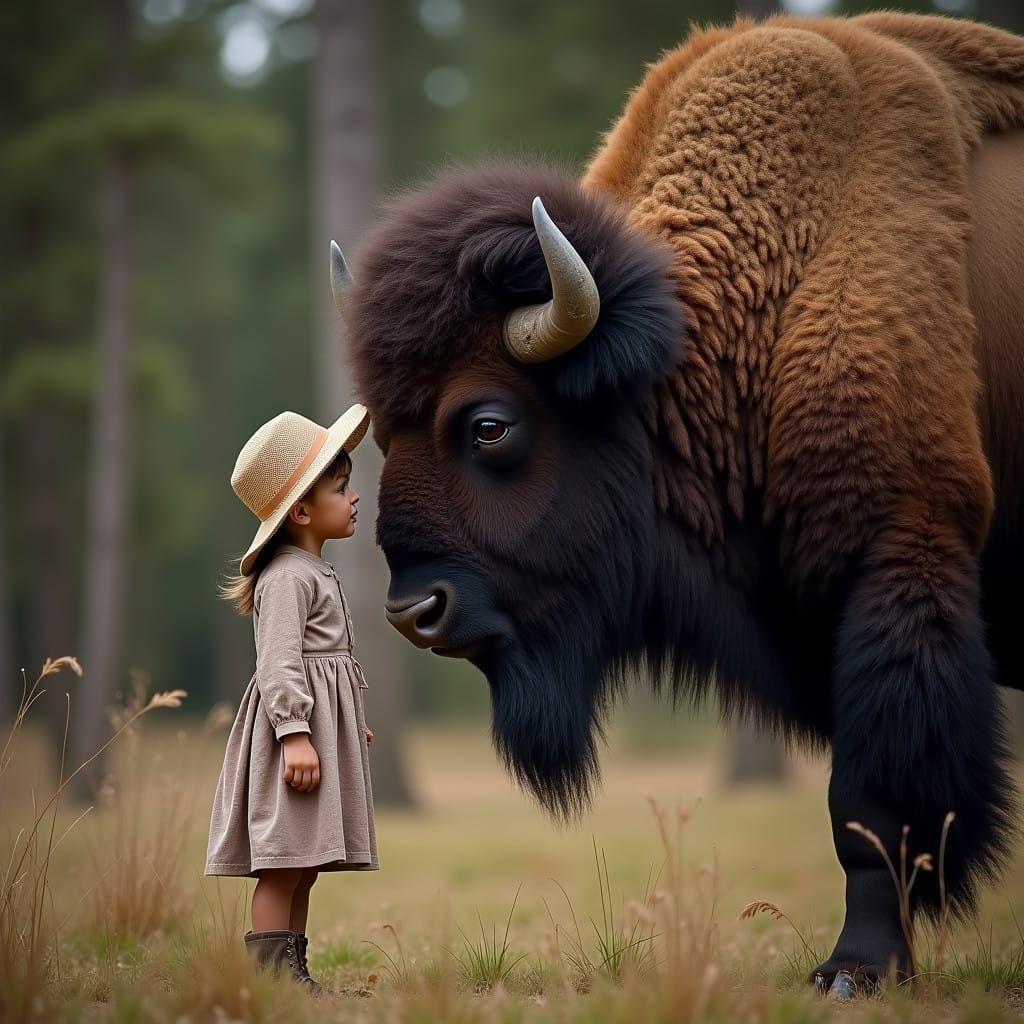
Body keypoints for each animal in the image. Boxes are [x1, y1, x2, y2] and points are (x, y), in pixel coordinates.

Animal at [335, 12, 1024, 994]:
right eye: (384, 437)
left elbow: (870, 805)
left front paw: (852, 970)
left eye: (489, 425)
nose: (414, 612)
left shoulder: (901, 565)